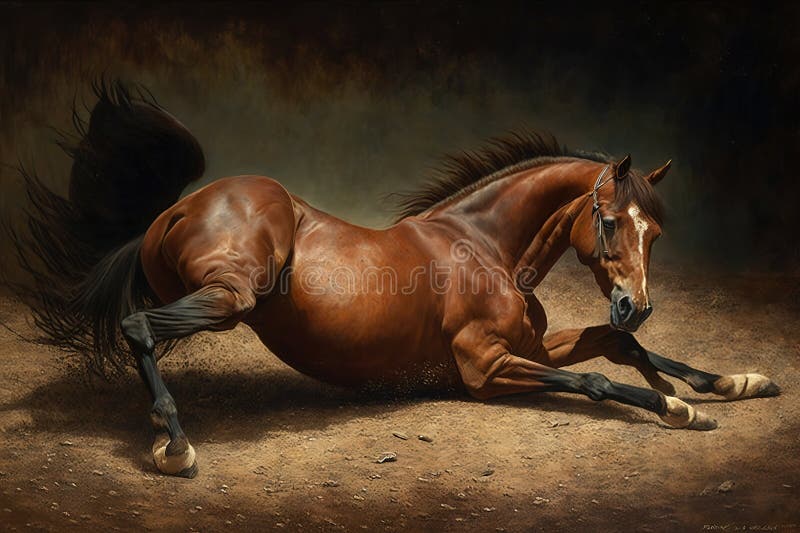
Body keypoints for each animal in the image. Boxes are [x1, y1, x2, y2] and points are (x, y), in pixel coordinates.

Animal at [9, 81, 780, 478]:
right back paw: (174, 443)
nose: (635, 304)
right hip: (233, 295)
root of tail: (174, 208)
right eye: (613, 224)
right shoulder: (485, 369)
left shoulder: (532, 348)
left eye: (657, 234)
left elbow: (620, 349)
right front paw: (678, 408)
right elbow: (596, 378)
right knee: (139, 325)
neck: (484, 245)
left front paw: (735, 383)